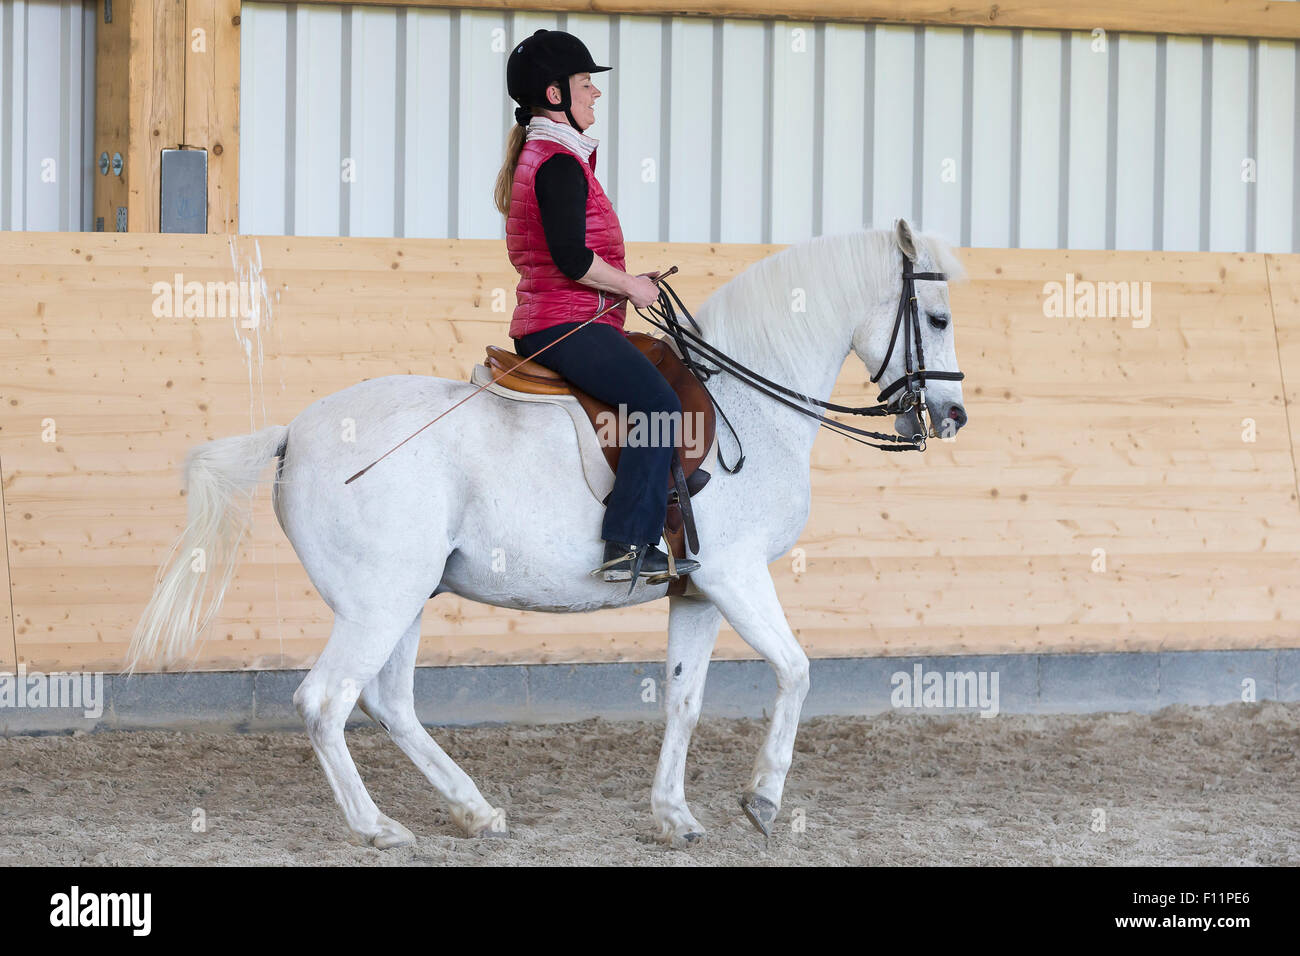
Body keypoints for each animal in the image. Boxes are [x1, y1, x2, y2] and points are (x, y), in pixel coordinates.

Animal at [128, 218, 969, 849]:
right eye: (937, 318)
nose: (952, 416)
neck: (748, 403)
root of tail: (294, 436)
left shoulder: (697, 590)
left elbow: (683, 700)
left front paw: (673, 816)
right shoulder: (735, 574)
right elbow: (796, 671)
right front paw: (761, 800)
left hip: (406, 596)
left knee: (389, 702)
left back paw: (475, 811)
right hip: (380, 599)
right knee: (326, 701)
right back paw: (380, 828)